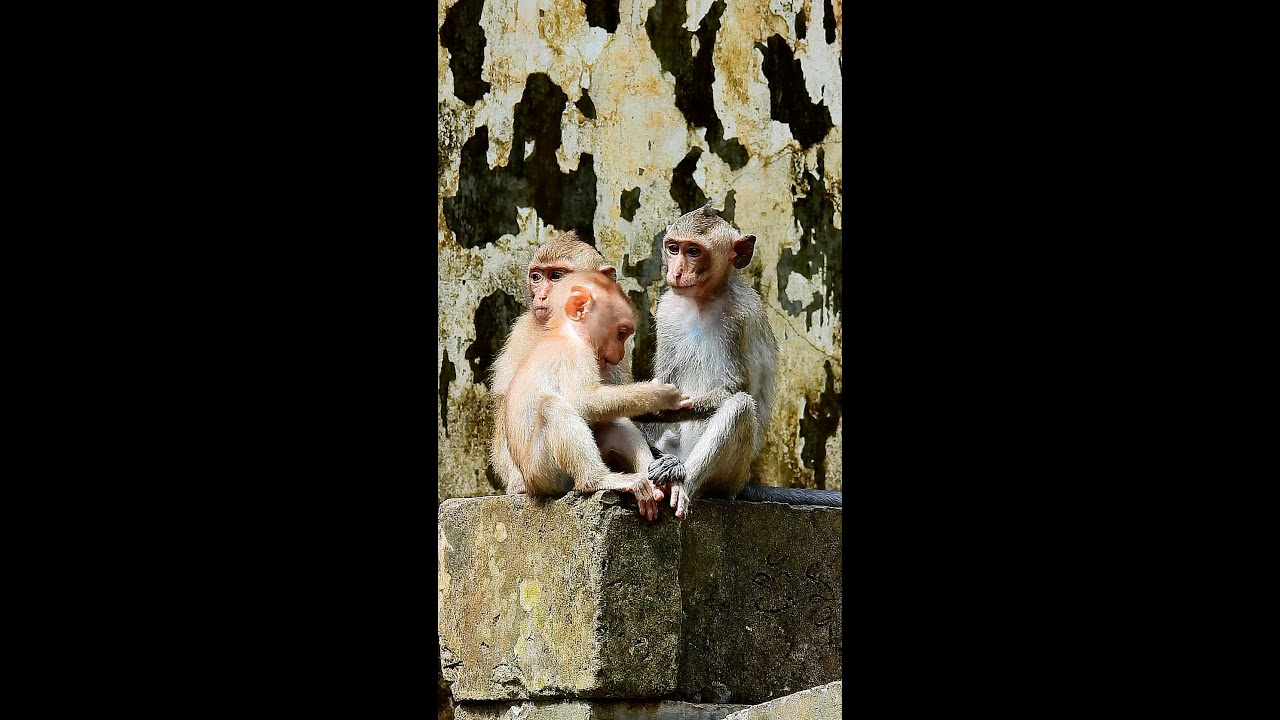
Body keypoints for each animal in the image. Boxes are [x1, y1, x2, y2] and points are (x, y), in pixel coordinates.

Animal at [489, 232, 686, 494]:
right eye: (536, 277)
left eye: (556, 275)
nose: (541, 295)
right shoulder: (525, 333)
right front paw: (659, 395)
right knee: (552, 408)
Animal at [505, 270, 692, 520]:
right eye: (621, 333)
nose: (621, 353)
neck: (566, 331)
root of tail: (531, 486)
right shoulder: (575, 354)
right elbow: (585, 402)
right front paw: (662, 395)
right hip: (543, 473)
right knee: (553, 407)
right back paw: (596, 480)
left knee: (614, 422)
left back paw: (657, 483)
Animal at [639, 202, 842, 519]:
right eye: (673, 248)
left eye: (693, 251)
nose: (677, 271)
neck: (702, 300)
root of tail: (745, 480)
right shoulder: (667, 310)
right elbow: (666, 376)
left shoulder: (740, 319)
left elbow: (735, 389)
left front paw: (660, 409)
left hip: (731, 475)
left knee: (740, 406)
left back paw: (680, 477)